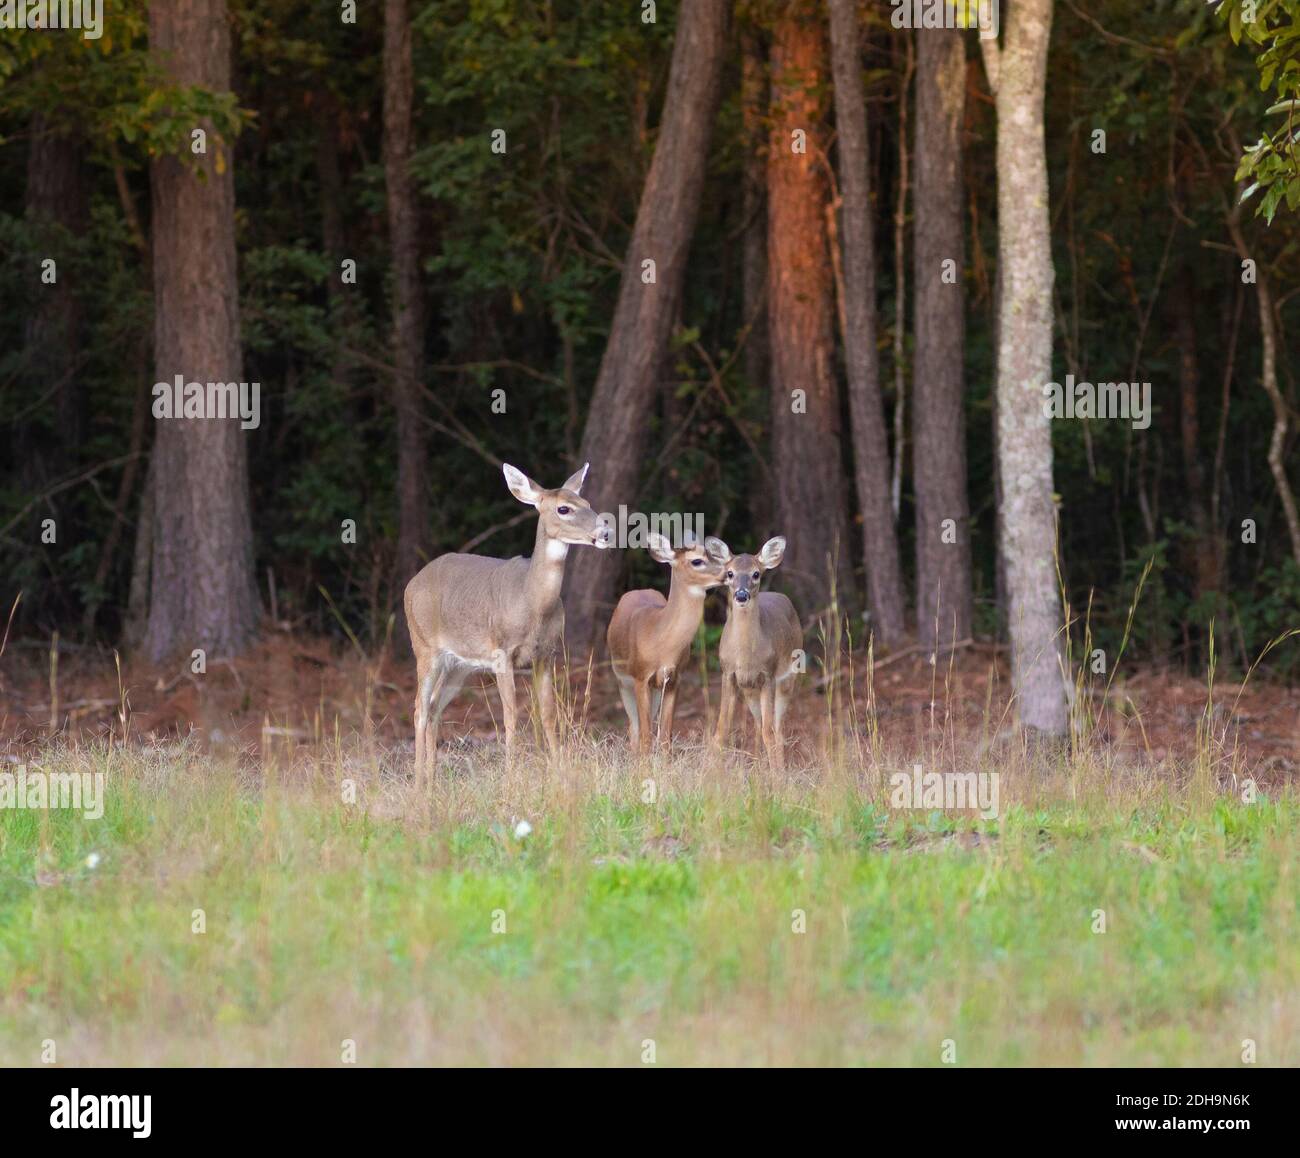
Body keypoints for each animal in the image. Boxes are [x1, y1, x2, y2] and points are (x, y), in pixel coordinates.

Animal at [403, 462, 611, 780]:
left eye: (587, 502)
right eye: (564, 509)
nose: (605, 532)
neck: (532, 602)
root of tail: (410, 586)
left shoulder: (547, 654)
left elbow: (548, 713)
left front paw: (558, 770)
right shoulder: (502, 651)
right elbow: (510, 713)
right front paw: (511, 775)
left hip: (460, 664)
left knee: (435, 705)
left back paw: (433, 776)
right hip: (424, 646)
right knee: (419, 708)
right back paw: (419, 780)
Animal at [606, 532, 727, 754]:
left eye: (712, 554)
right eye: (697, 561)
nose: (728, 573)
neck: (661, 642)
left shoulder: (675, 678)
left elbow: (665, 738)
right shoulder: (640, 676)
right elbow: (646, 737)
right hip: (622, 680)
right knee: (633, 728)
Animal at [707, 536, 802, 769]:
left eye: (756, 573)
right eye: (729, 573)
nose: (741, 595)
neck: (745, 657)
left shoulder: (768, 675)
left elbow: (770, 732)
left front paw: (777, 775)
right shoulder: (728, 673)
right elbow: (721, 729)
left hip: (787, 680)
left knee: (777, 728)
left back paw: (777, 766)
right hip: (749, 690)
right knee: (758, 725)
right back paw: (759, 765)